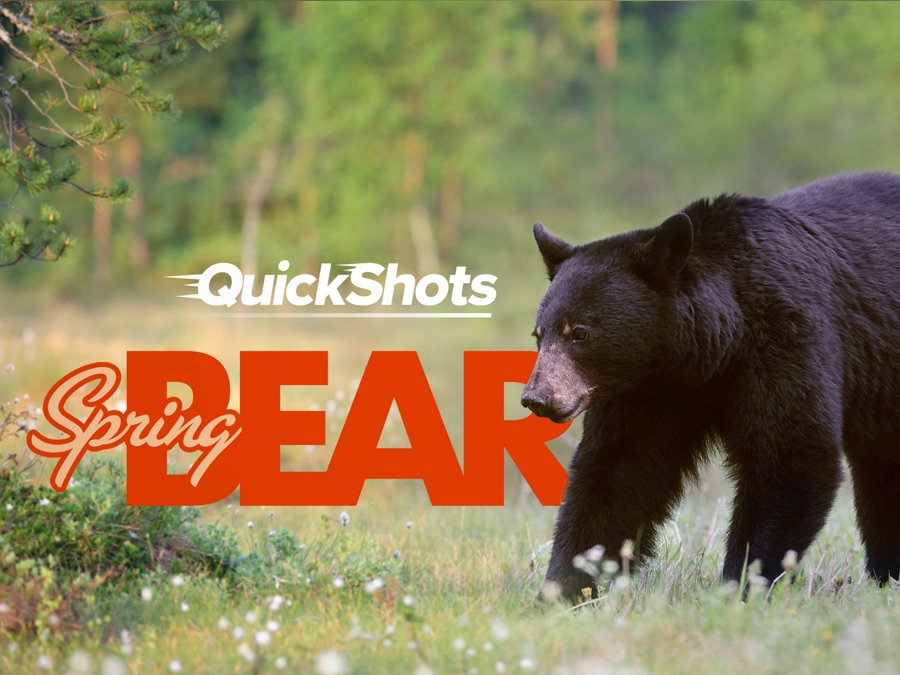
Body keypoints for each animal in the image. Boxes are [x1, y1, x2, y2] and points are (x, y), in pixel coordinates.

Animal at [521, 171, 900, 603]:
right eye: (540, 334)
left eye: (580, 333)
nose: (537, 397)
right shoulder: (649, 393)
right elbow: (618, 472)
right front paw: (567, 589)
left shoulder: (786, 338)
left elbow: (790, 453)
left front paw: (741, 585)